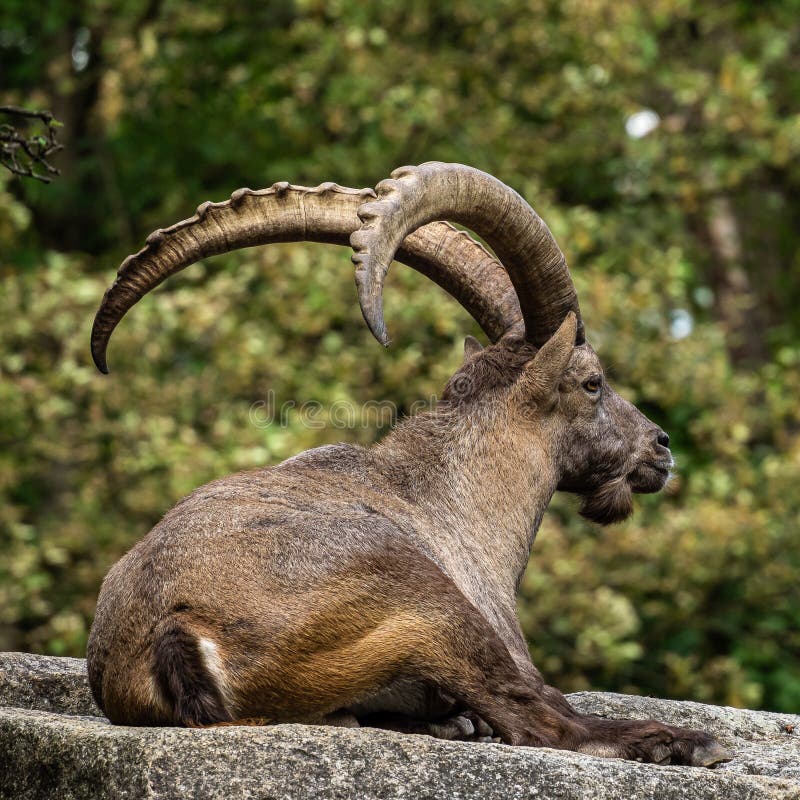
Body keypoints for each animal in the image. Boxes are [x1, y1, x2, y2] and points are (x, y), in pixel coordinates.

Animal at [86, 163, 730, 766]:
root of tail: (175, 630)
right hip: (426, 602)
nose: (659, 446)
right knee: (540, 723)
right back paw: (684, 741)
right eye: (593, 382)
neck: (455, 497)